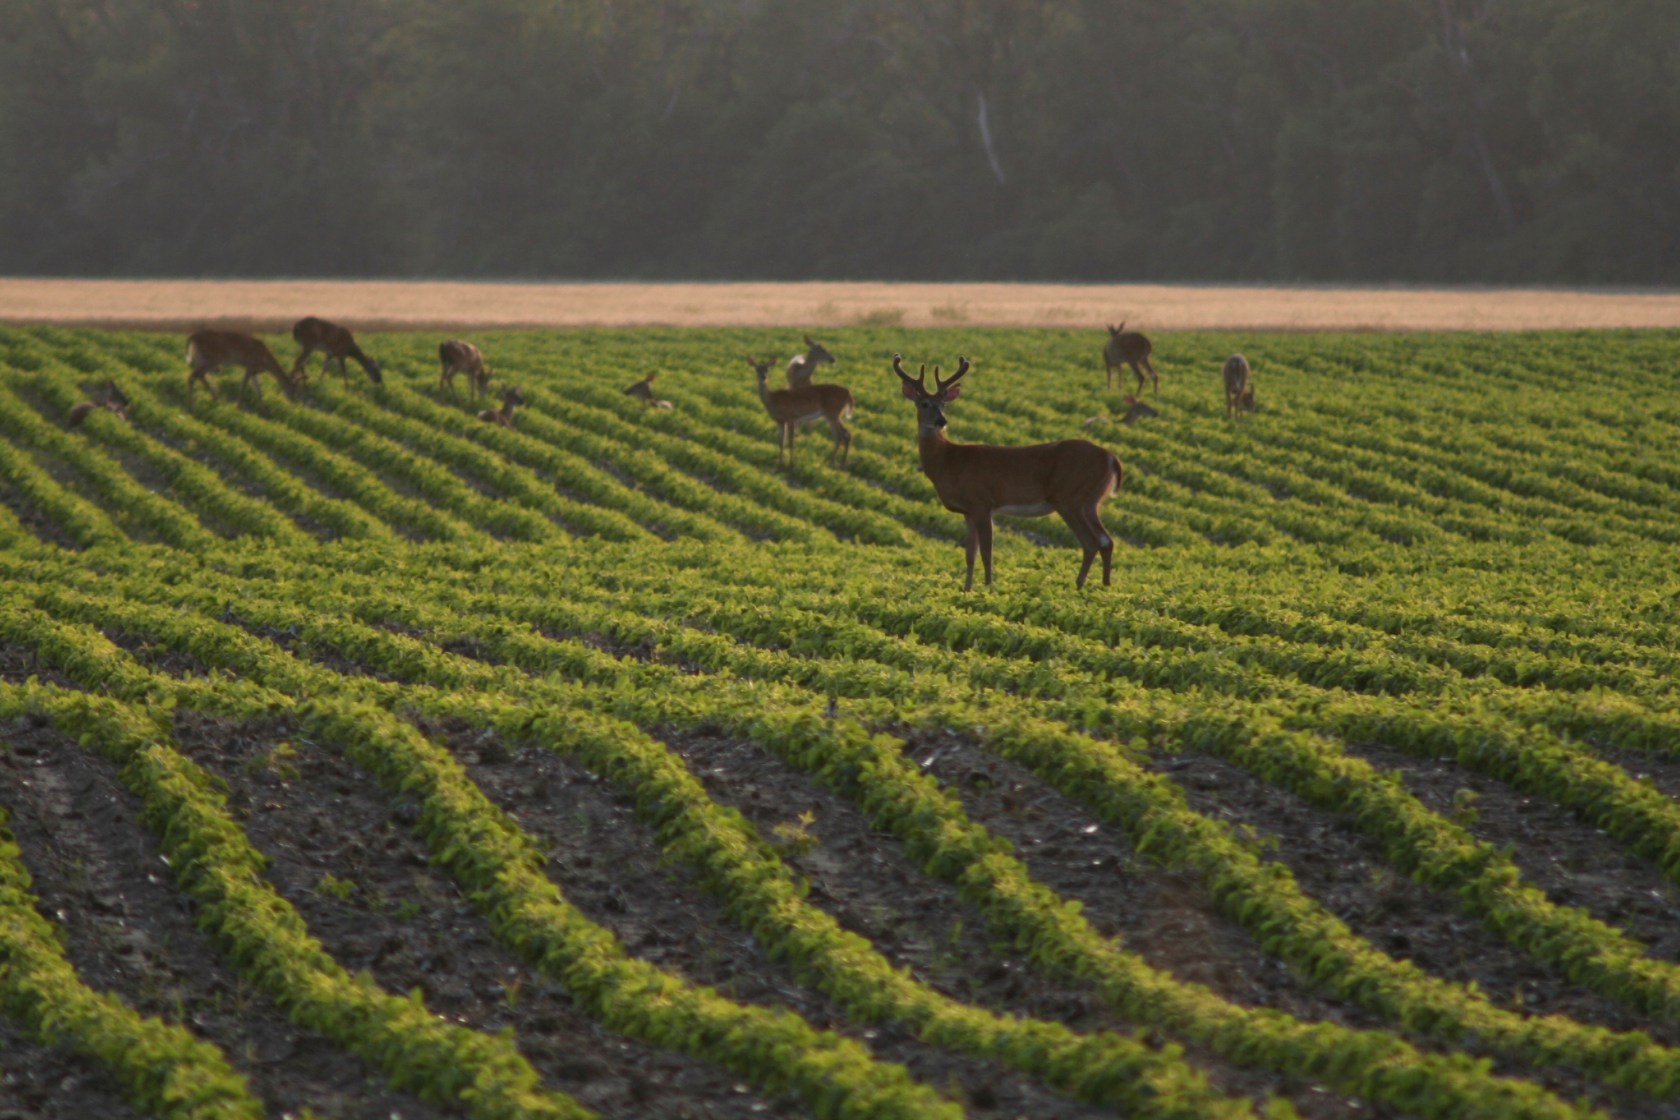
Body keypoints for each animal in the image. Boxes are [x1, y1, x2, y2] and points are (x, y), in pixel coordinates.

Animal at [895, 354, 1122, 591]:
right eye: (924, 403)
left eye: (944, 404)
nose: (941, 421)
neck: (949, 461)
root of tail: (1111, 458)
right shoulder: (968, 511)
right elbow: (970, 555)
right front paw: (966, 590)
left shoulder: (982, 502)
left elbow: (987, 552)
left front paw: (988, 587)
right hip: (1091, 500)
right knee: (1106, 540)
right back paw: (1104, 586)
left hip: (1069, 497)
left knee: (1091, 542)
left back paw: (1079, 586)